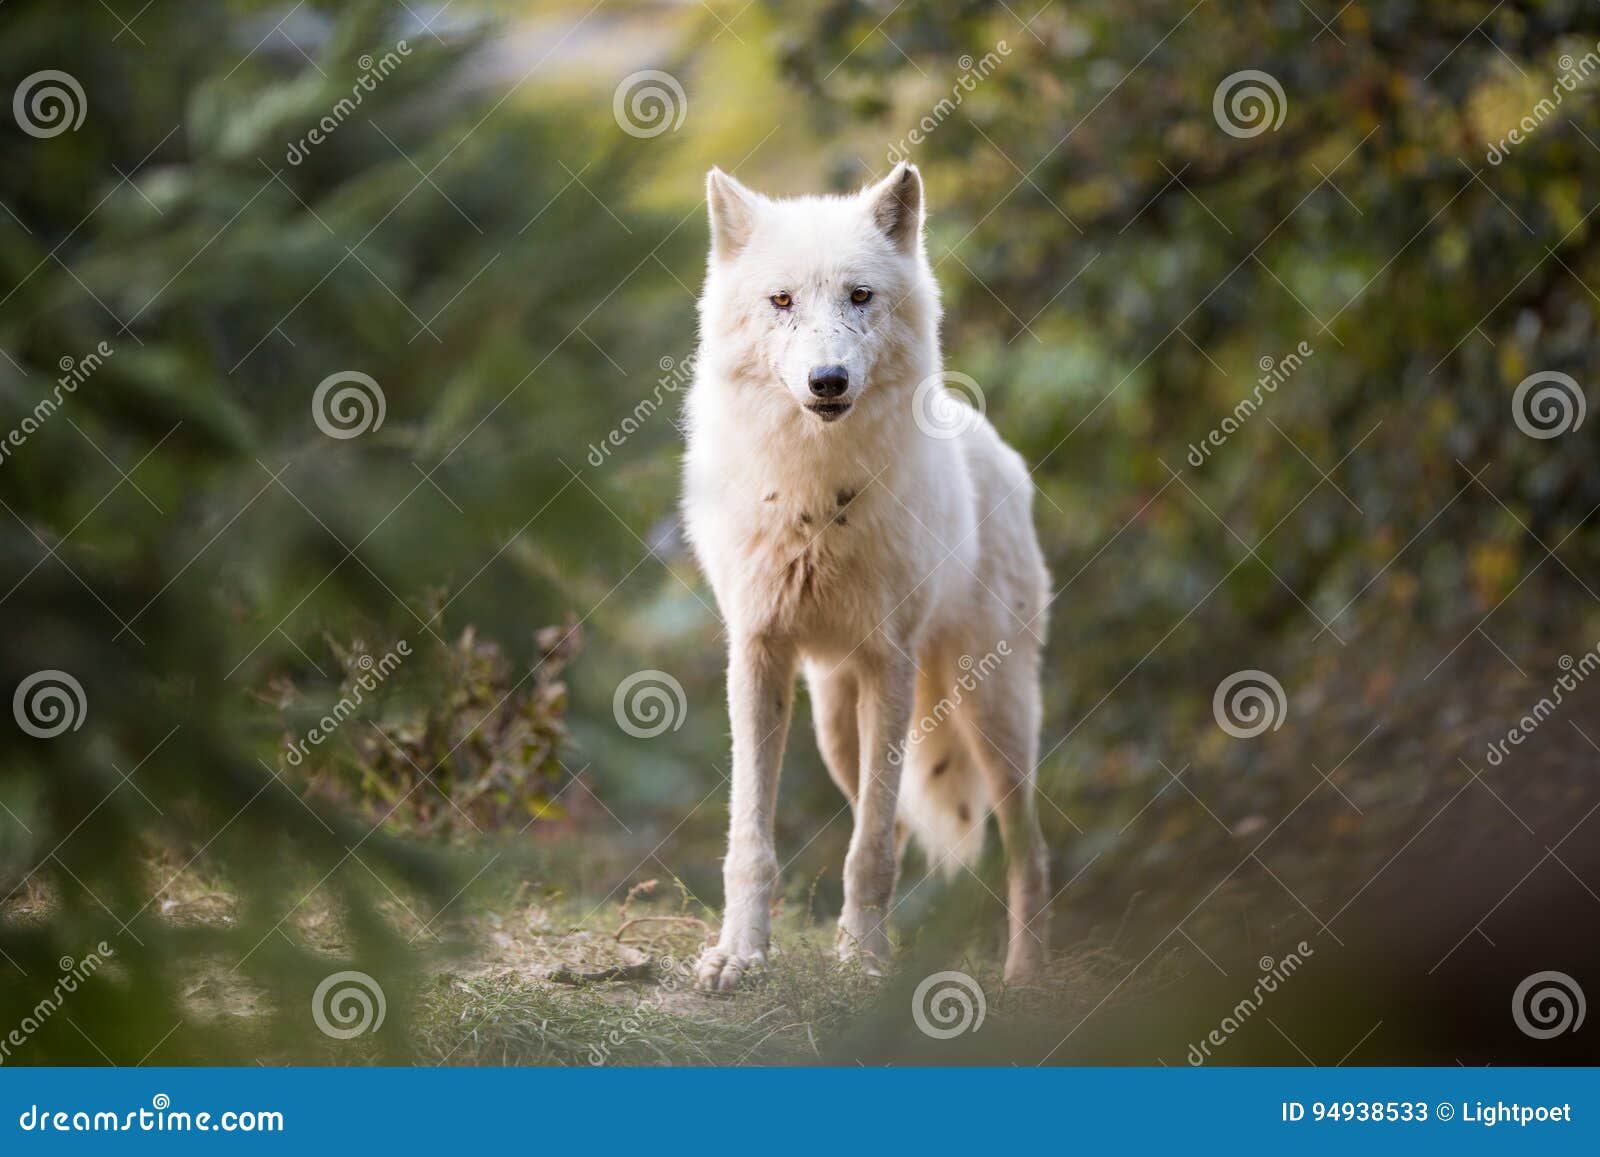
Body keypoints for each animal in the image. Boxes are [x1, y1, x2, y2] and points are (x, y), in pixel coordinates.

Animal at [681, 162, 1052, 991]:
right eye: (782, 300)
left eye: (859, 296)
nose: (827, 379)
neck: (817, 498)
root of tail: (994, 443)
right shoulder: (757, 654)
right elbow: (752, 841)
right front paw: (740, 955)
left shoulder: (892, 661)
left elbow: (869, 850)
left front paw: (863, 962)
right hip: (832, 722)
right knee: (895, 817)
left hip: (994, 713)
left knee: (1026, 847)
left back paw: (1023, 974)